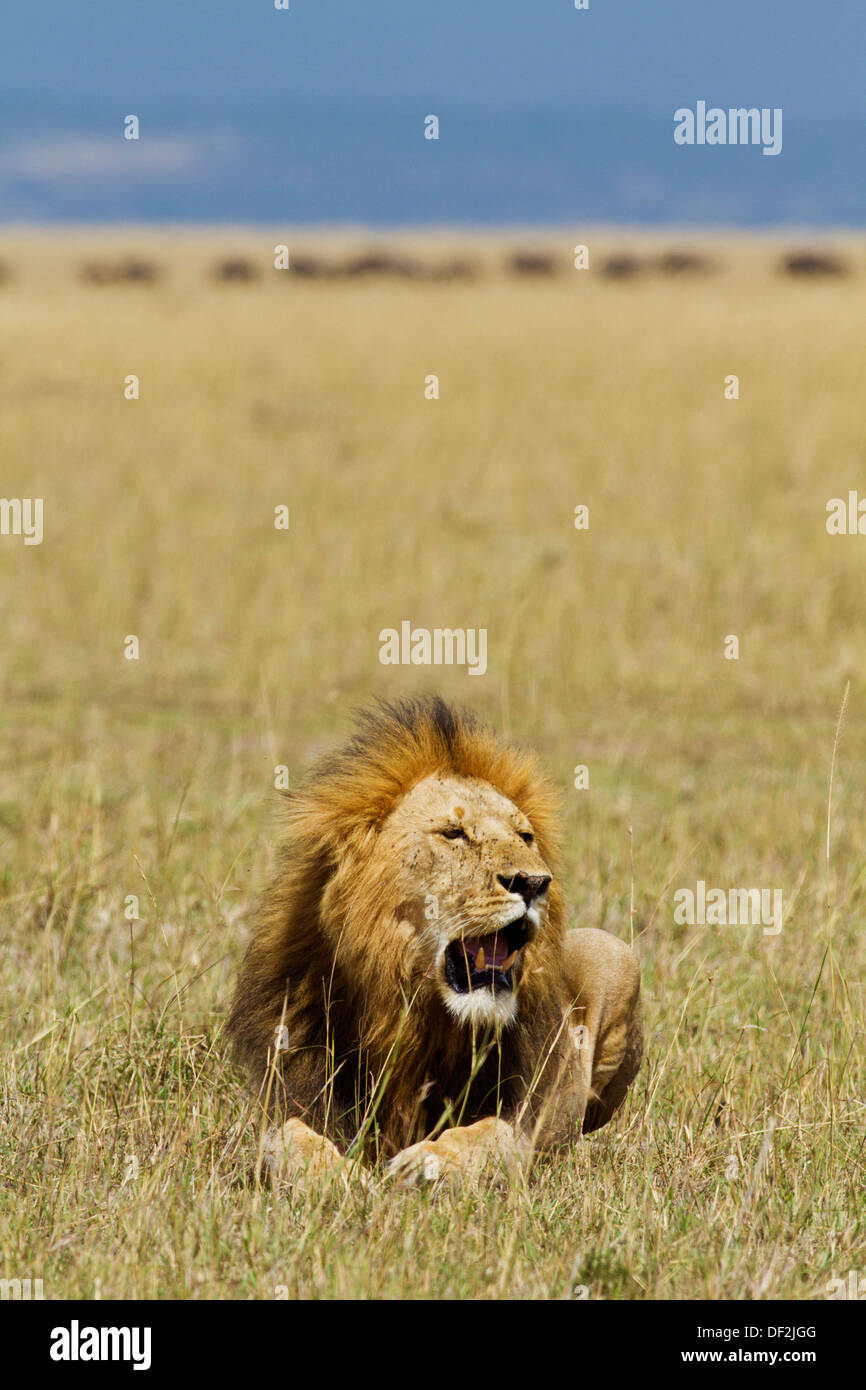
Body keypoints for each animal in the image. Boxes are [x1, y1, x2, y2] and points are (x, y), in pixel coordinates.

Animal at [227, 696, 642, 1186]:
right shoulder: (291, 1092)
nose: (535, 882)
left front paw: (426, 1164)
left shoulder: (521, 1117)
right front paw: (338, 1178)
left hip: (613, 953)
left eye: (525, 837)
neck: (408, 1015)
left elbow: (488, 1138)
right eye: (453, 833)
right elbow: (285, 1140)